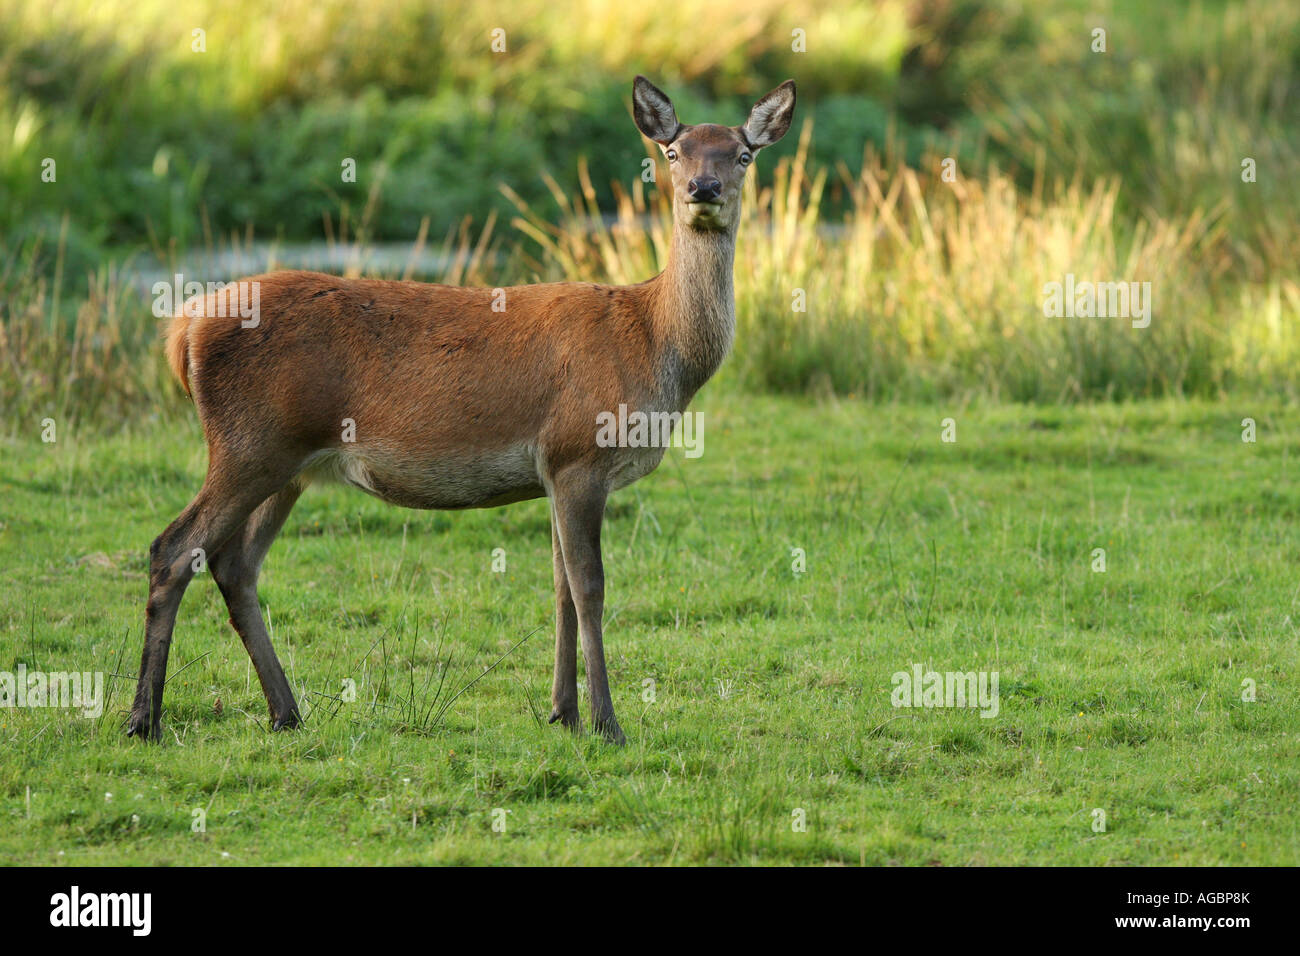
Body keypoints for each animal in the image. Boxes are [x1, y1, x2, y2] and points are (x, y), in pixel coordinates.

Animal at [128, 76, 795, 745]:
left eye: (743, 155)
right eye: (674, 152)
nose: (702, 189)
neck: (656, 347)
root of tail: (182, 332)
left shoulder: (555, 470)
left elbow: (559, 587)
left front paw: (563, 712)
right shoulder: (580, 453)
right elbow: (590, 588)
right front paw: (607, 723)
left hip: (289, 463)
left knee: (233, 564)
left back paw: (284, 712)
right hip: (250, 444)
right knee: (172, 549)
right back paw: (144, 719)